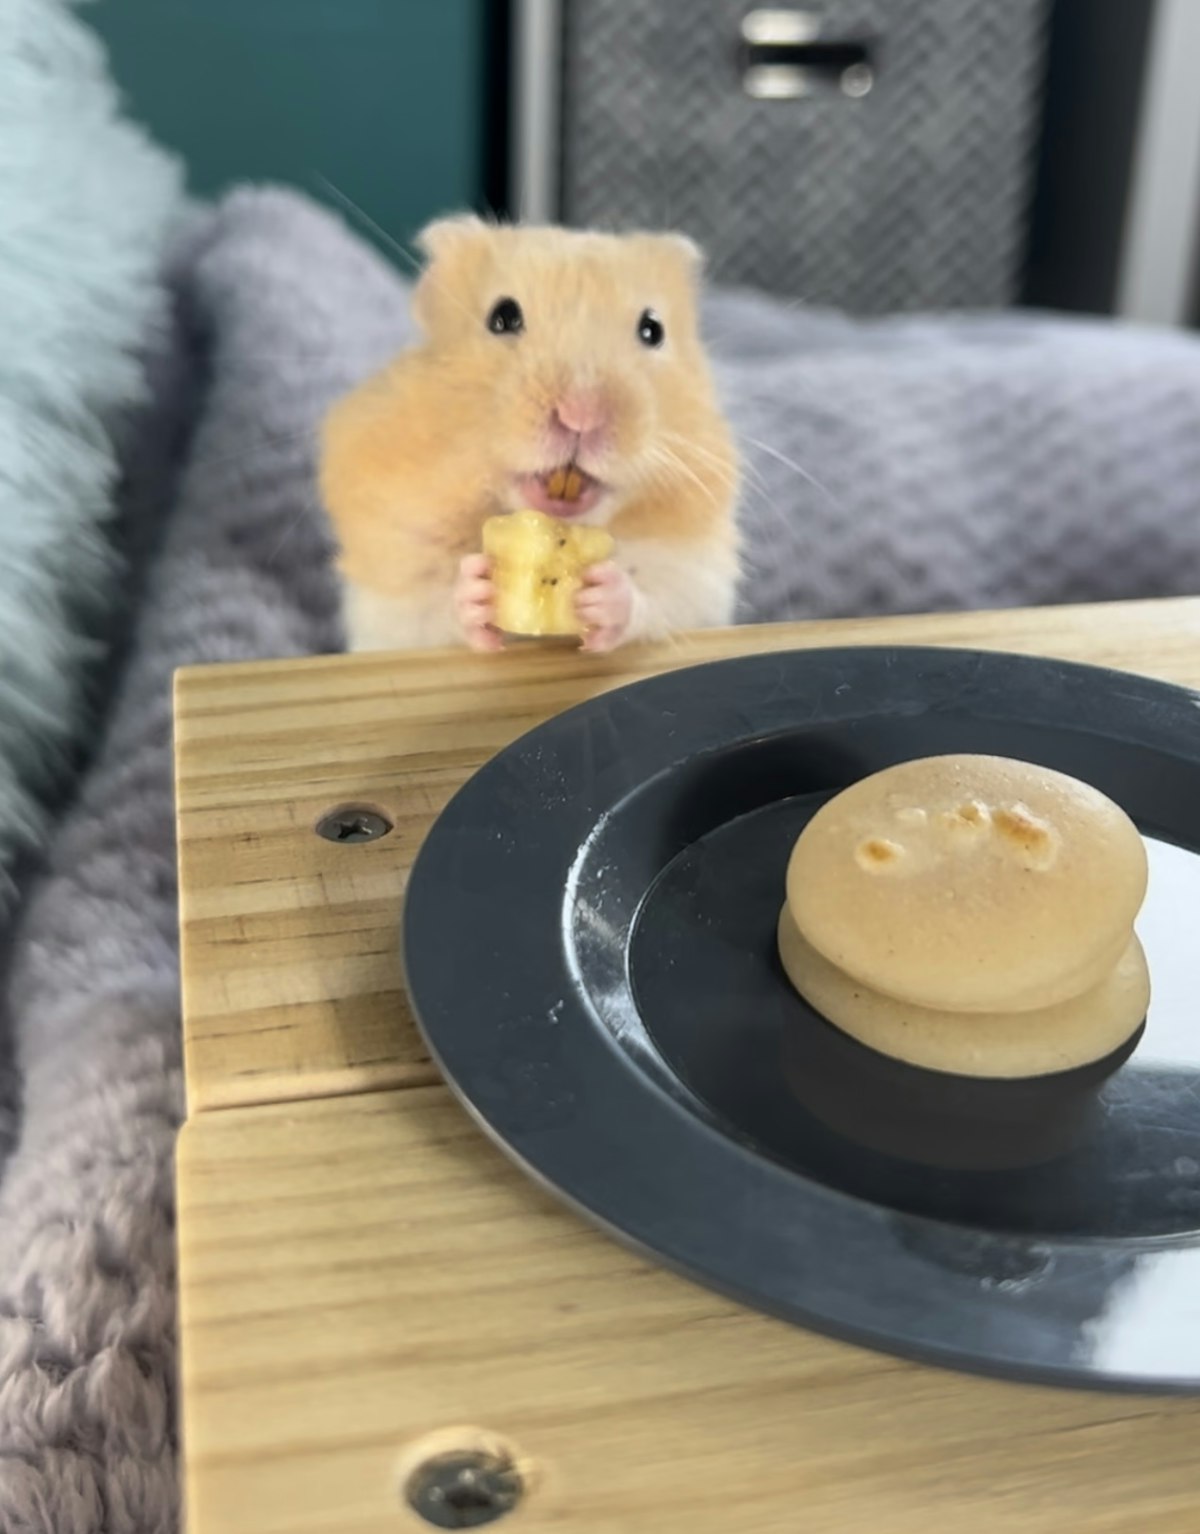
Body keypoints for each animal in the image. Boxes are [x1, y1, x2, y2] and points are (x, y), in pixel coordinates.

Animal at [318, 216, 740, 654]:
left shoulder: (699, 584)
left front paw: (606, 595)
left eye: (652, 329)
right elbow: (436, 613)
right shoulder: (393, 599)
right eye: (502, 317)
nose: (581, 415)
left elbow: (656, 605)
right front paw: (475, 589)